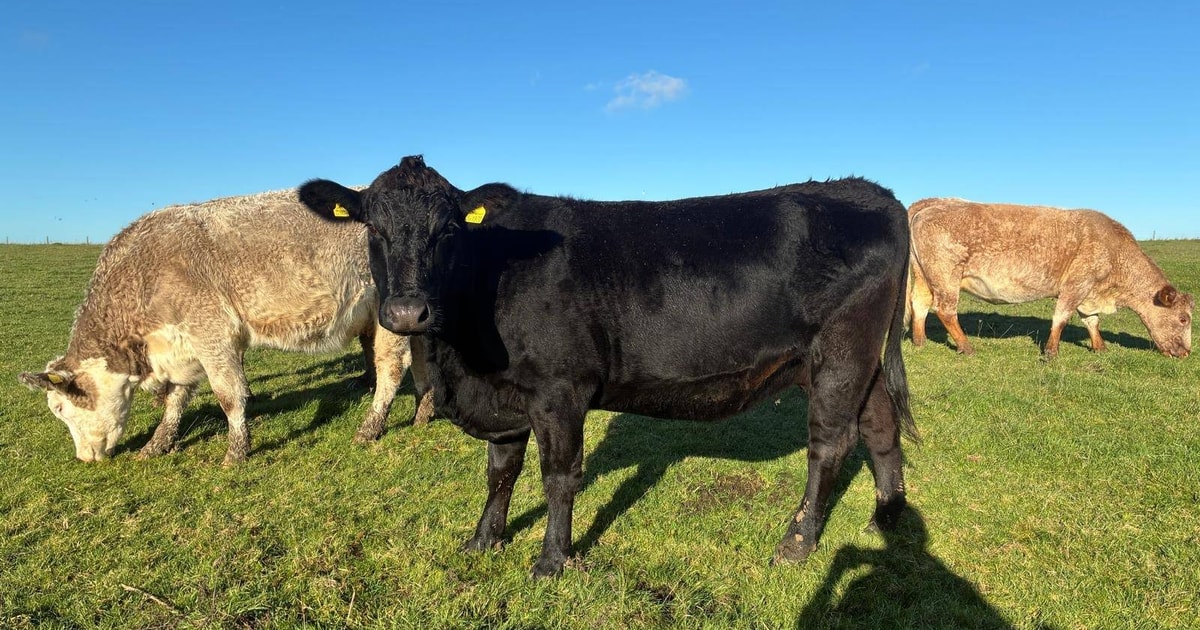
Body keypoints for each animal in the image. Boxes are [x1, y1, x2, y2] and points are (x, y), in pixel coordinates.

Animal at [19, 189, 433, 466]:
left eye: (60, 408)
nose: (84, 457)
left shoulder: (211, 333)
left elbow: (228, 395)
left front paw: (236, 450)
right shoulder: (182, 344)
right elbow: (175, 398)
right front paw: (157, 444)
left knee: (392, 368)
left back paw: (370, 427)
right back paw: (423, 413)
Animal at [297, 156, 917, 577]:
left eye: (448, 229)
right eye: (372, 227)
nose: (407, 311)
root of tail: (874, 193)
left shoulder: (558, 389)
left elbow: (559, 477)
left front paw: (551, 560)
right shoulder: (506, 396)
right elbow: (500, 472)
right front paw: (483, 540)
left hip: (840, 353)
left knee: (830, 443)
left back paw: (797, 542)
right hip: (857, 363)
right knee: (880, 428)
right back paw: (888, 516)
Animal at [907, 198, 1194, 357]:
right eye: (1183, 318)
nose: (1187, 352)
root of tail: (934, 202)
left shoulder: (1089, 292)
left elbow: (1091, 321)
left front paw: (1100, 347)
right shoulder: (1077, 284)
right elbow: (1062, 317)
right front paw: (1052, 352)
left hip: (923, 276)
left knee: (919, 304)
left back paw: (919, 342)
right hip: (946, 276)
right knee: (945, 310)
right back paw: (966, 347)